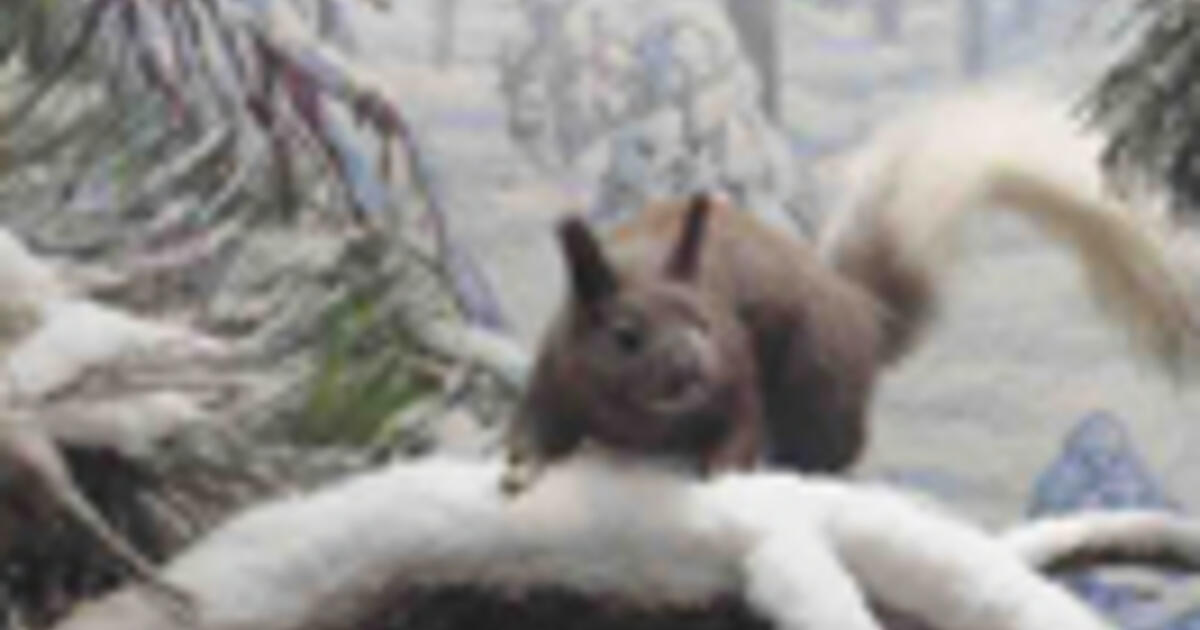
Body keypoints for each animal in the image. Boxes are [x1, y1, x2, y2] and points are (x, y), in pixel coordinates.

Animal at [502, 89, 1200, 495]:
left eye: (706, 322)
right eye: (624, 335)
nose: (693, 366)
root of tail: (861, 312)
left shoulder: (739, 372)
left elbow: (742, 422)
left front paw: (724, 469)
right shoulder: (556, 370)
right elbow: (534, 426)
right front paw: (520, 470)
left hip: (819, 380)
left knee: (832, 447)